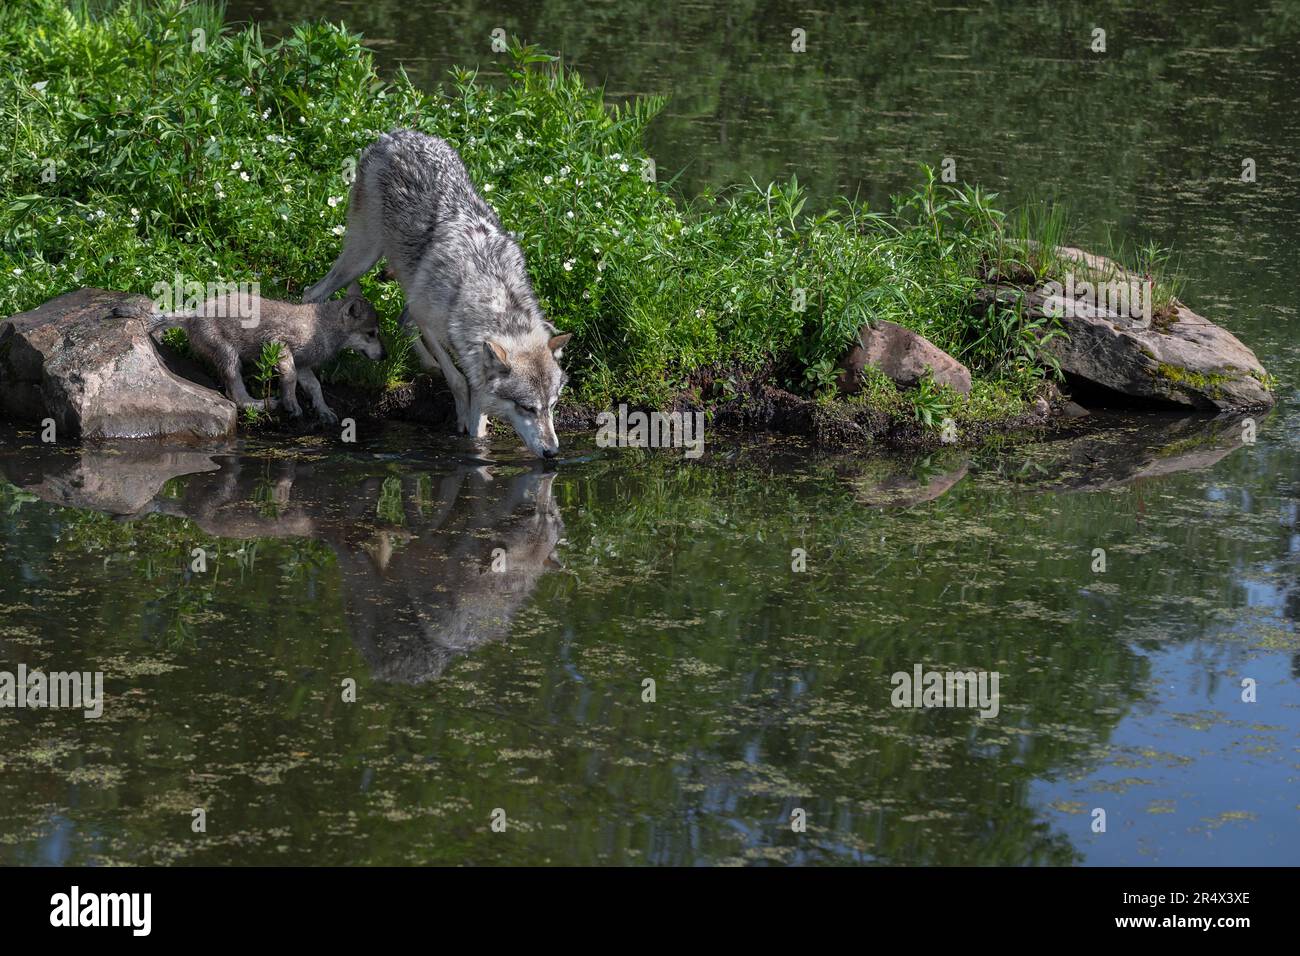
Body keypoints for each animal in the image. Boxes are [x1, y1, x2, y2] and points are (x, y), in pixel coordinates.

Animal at [131, 283, 384, 423]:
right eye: (371, 333)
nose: (386, 356)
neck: (323, 327)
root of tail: (191, 316)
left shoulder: (303, 364)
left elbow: (315, 387)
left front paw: (324, 411)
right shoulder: (279, 344)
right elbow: (290, 378)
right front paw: (291, 405)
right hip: (229, 356)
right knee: (236, 395)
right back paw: (262, 404)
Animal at [304, 129, 571, 458]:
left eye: (552, 406)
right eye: (527, 408)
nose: (552, 452)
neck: (491, 288)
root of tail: (395, 134)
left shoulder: (472, 358)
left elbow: (478, 402)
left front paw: (477, 436)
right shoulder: (433, 324)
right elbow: (458, 381)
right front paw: (463, 420)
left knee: (402, 321)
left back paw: (426, 364)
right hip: (362, 258)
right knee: (311, 294)